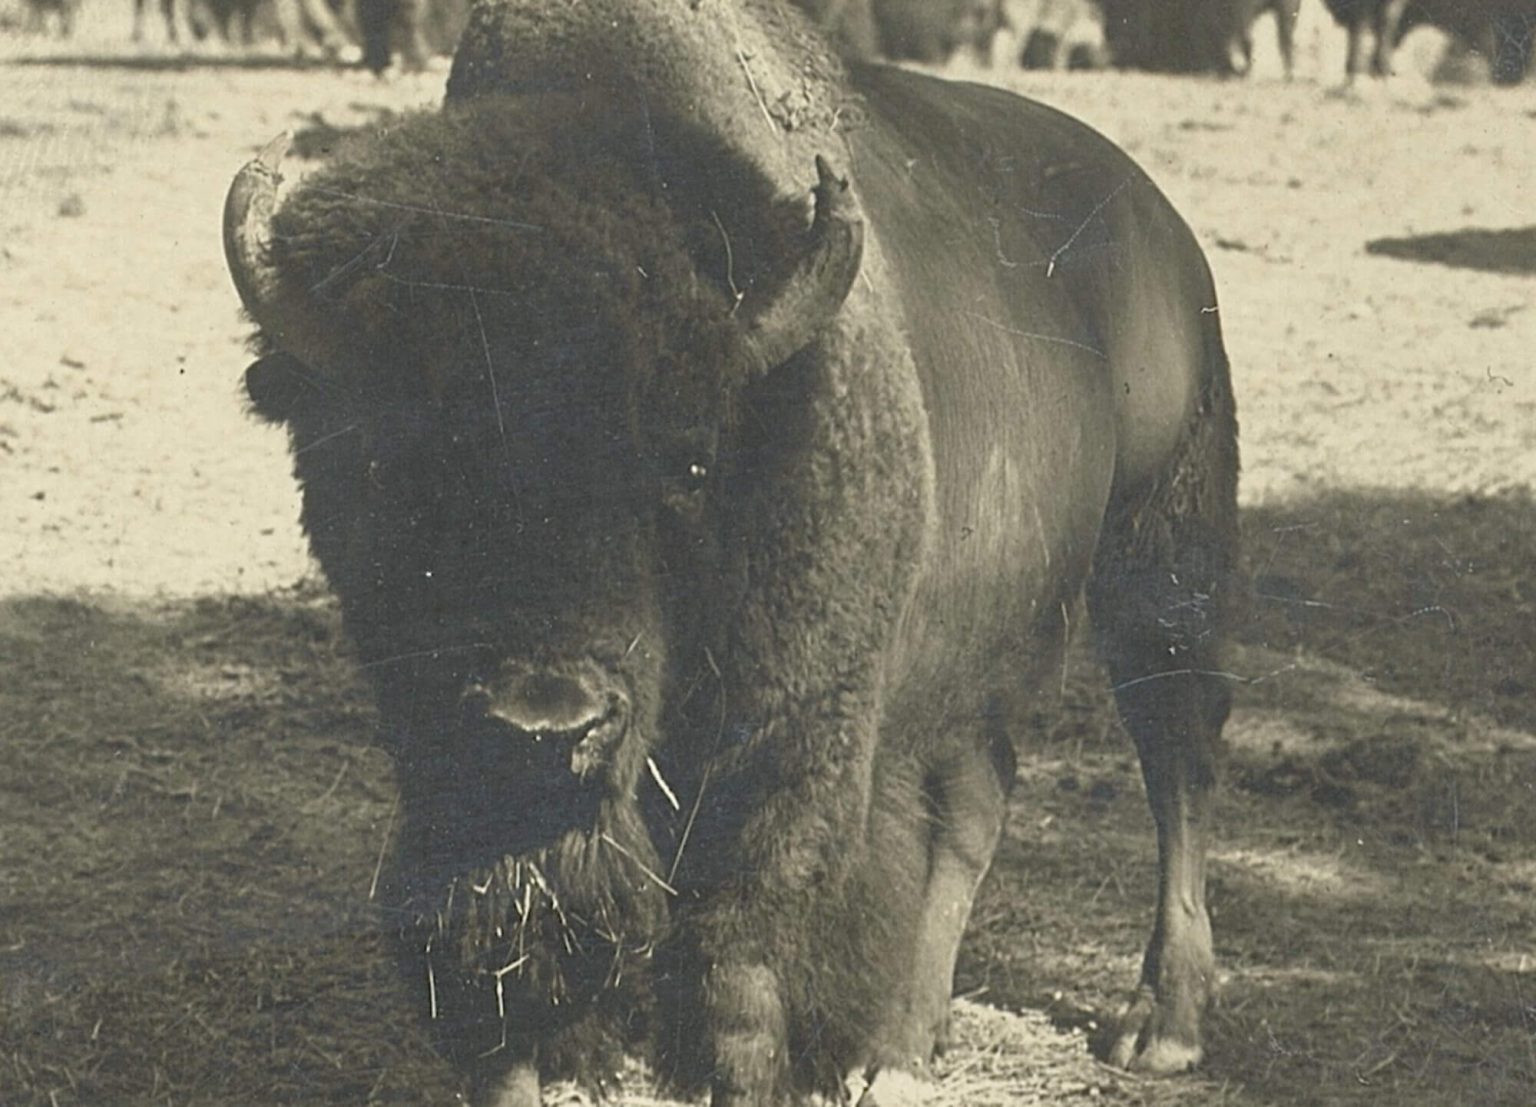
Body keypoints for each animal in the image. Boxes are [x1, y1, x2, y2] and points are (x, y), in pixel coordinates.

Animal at [224, 0, 1240, 1103]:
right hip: (981, 643)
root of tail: (1157, 223)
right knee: (979, 800)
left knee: (1177, 758)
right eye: (382, 461)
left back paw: (1162, 1026)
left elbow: (740, 968)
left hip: (1162, 555)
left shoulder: (795, 737)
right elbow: (498, 977)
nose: (544, 719)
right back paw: (906, 1038)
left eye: (688, 458)